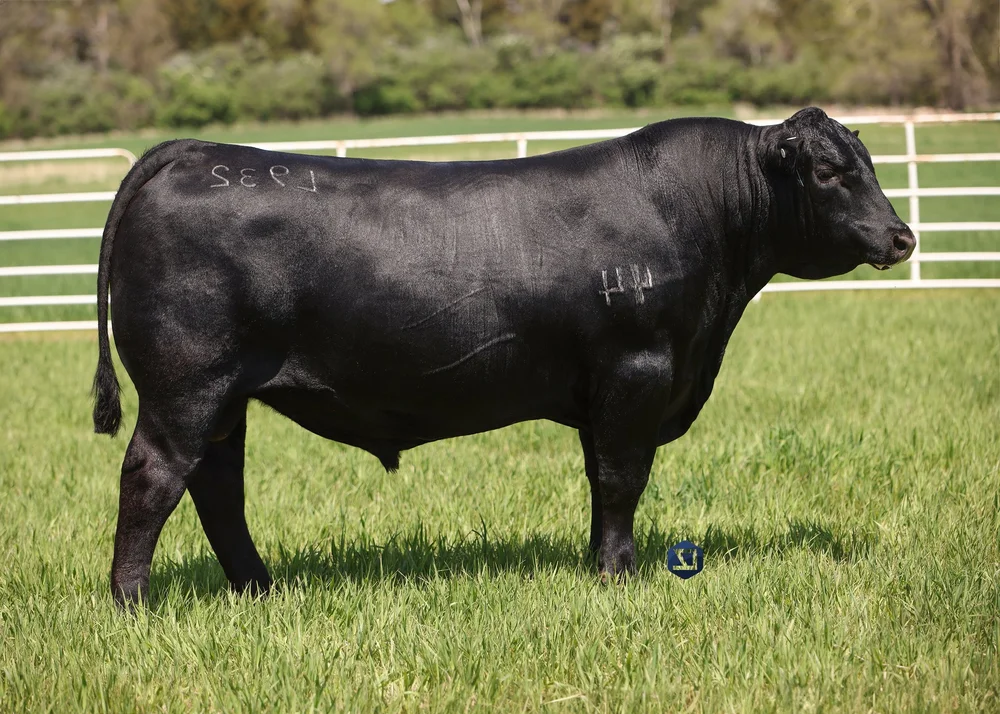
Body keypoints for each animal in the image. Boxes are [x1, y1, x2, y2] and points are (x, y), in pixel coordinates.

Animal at [92, 107, 914, 606]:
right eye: (829, 171)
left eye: (868, 162)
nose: (901, 235)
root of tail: (196, 152)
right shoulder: (638, 370)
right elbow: (624, 479)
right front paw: (621, 578)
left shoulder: (605, 388)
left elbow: (600, 480)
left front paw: (597, 568)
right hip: (186, 384)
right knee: (154, 477)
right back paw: (133, 604)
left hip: (225, 395)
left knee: (217, 488)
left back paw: (260, 589)